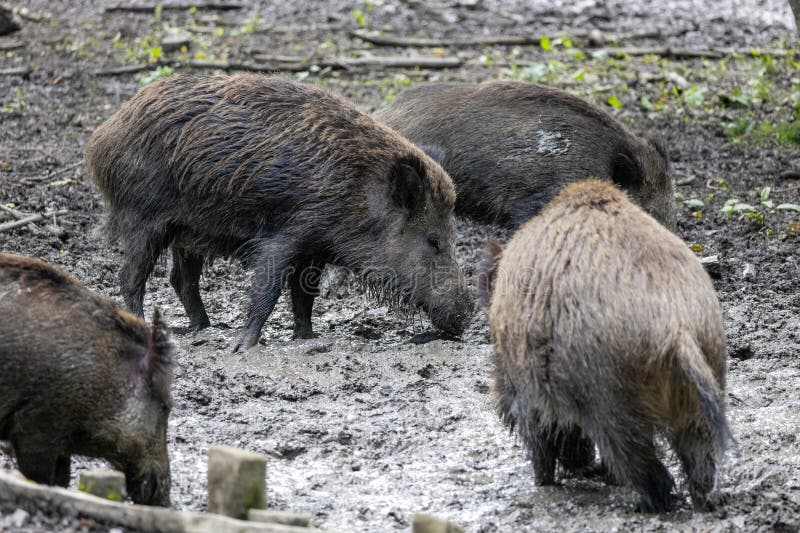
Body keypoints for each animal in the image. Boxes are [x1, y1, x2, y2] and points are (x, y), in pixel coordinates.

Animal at [85, 73, 474, 351]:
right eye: (433, 240)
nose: (467, 313)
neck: (357, 195)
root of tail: (102, 136)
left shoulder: (315, 250)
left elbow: (305, 296)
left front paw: (307, 338)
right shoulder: (288, 233)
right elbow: (268, 287)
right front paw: (242, 348)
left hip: (188, 231)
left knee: (181, 279)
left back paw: (203, 329)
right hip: (144, 219)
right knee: (130, 277)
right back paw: (148, 329)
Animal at [478, 179, 730, 513]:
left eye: (493, 348)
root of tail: (676, 326)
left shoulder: (526, 390)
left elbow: (540, 440)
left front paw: (543, 483)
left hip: (611, 400)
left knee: (645, 467)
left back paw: (642, 505)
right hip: (706, 377)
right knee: (699, 456)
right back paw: (706, 502)